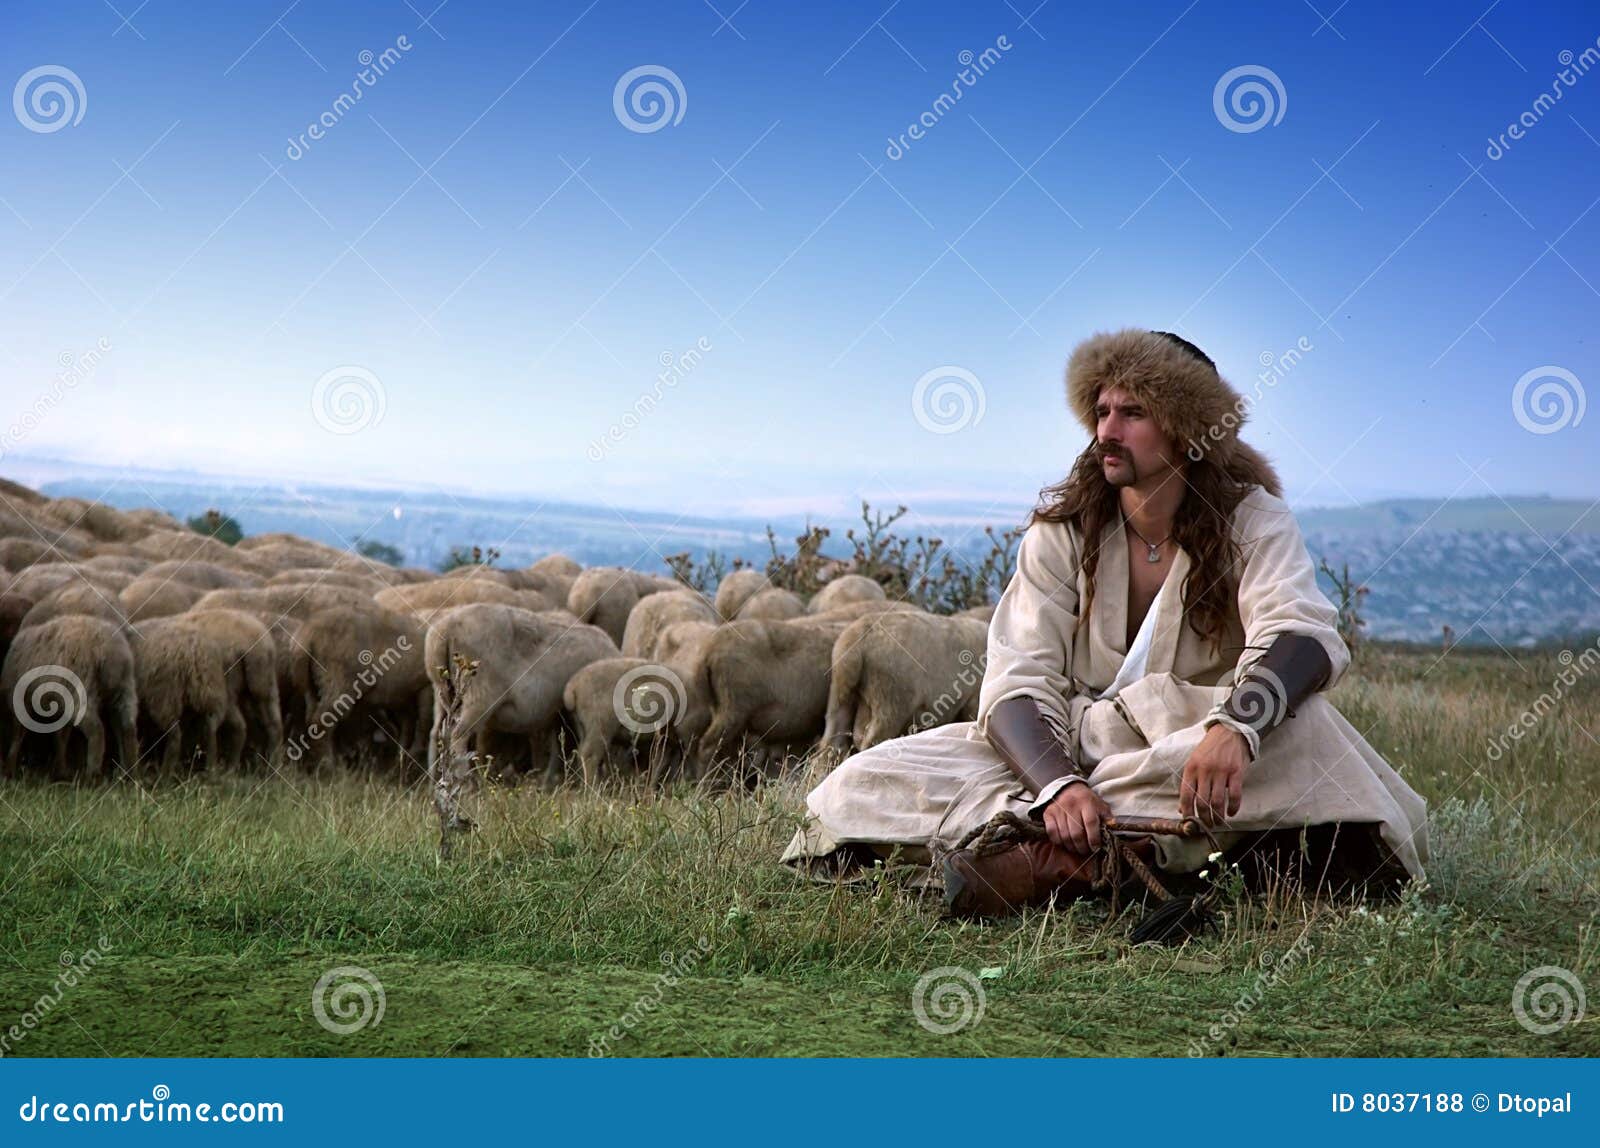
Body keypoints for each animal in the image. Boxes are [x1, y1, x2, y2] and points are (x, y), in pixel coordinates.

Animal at [1, 615, 138, 779]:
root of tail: (111, 651)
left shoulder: (20, 698)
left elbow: (17, 735)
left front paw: (9, 769)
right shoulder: (59, 705)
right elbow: (61, 736)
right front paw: (61, 770)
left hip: (82, 689)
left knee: (97, 730)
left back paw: (92, 775)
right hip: (124, 689)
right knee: (127, 727)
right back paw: (127, 773)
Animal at [819, 610, 989, 758]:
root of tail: (857, 643)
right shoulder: (973, 701)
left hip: (841, 691)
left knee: (832, 742)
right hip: (891, 697)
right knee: (871, 739)